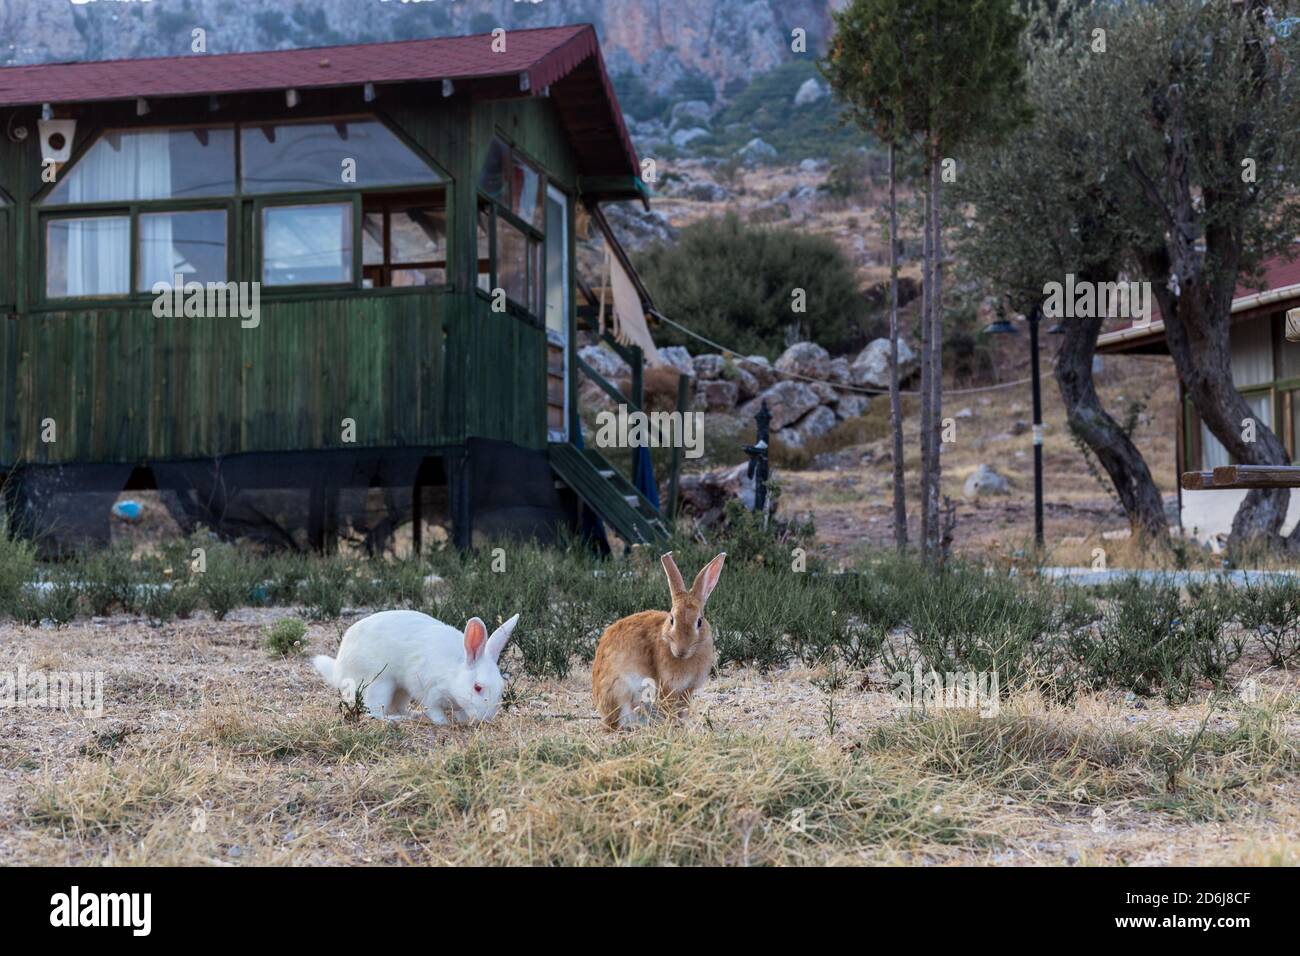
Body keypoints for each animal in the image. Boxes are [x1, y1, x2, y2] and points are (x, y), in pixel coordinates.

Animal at [311, 609, 519, 724]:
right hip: (379, 684)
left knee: (397, 707)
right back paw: (395, 720)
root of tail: (339, 671)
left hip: (401, 691)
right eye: (477, 687)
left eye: (501, 687)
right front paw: (443, 722)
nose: (486, 718)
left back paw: (413, 715)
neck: (455, 672)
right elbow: (433, 709)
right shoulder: (430, 690)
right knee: (373, 710)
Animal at [591, 551, 726, 730]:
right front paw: (675, 724)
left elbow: (683, 709)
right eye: (672, 619)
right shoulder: (668, 686)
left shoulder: (687, 690)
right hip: (622, 692)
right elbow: (671, 707)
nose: (681, 651)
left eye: (699, 622)